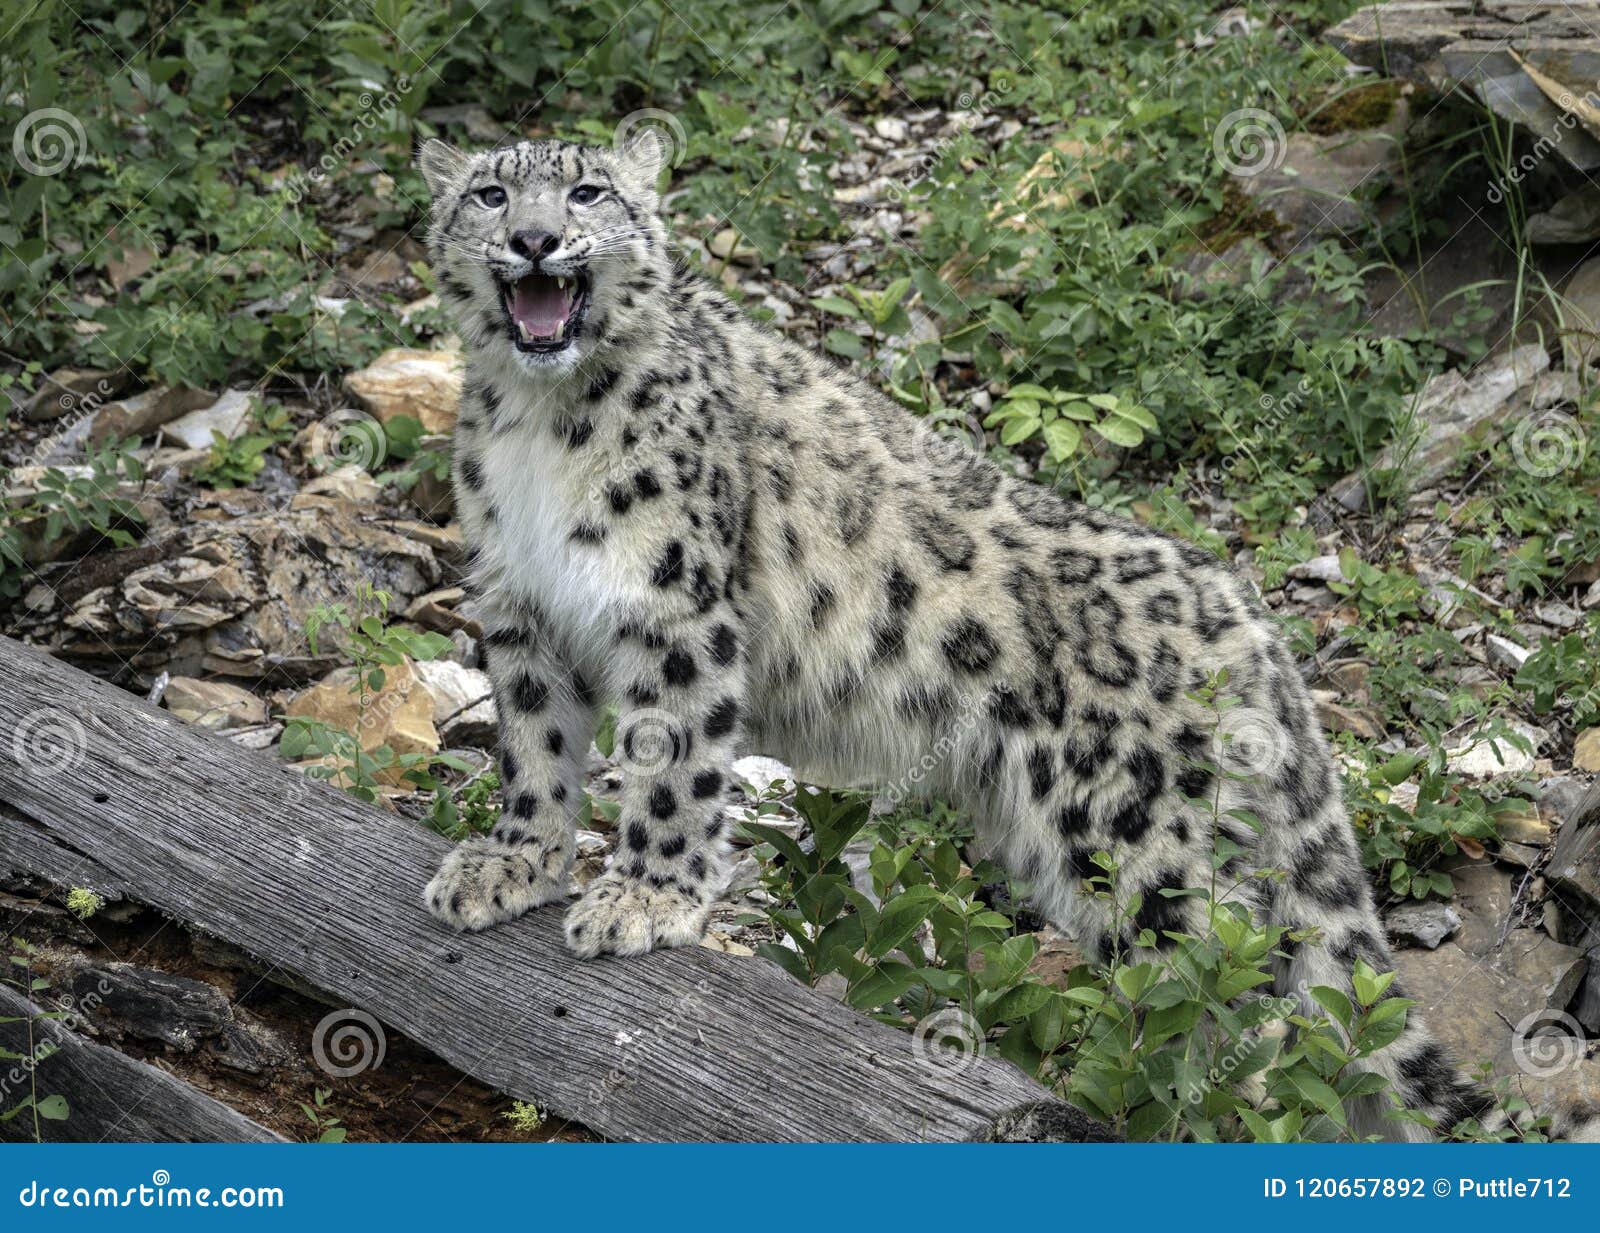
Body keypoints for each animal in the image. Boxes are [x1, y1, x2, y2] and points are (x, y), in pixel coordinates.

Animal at [413, 132, 1591, 1142]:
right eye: (490, 194)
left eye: (586, 191)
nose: (534, 242)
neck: (537, 427)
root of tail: (1251, 621)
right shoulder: (517, 608)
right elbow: (534, 747)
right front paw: (509, 866)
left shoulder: (676, 608)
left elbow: (671, 763)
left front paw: (642, 897)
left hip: (1141, 843)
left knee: (1244, 999)